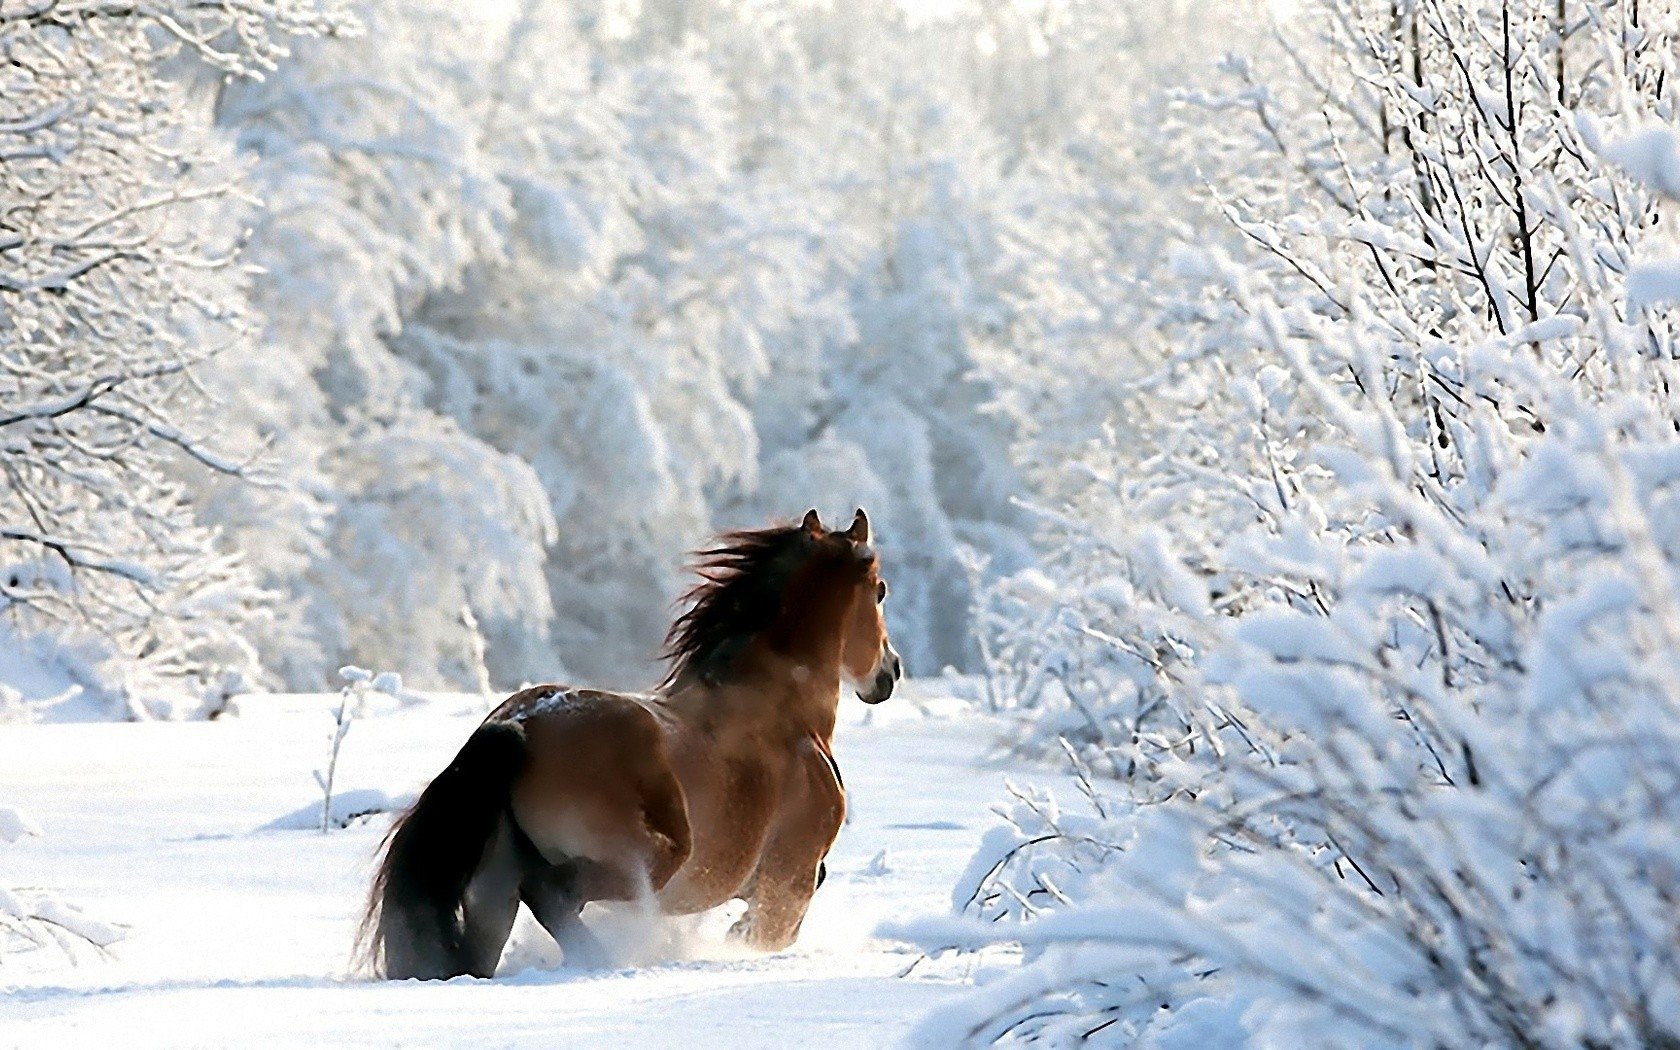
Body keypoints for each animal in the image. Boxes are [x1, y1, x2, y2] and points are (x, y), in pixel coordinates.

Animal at [359, 508, 903, 980]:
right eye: (879, 591)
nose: (890, 671)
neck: (784, 714)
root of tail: (518, 726)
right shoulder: (789, 882)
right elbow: (768, 934)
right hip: (648, 859)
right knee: (553, 894)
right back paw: (604, 961)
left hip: (492, 890)